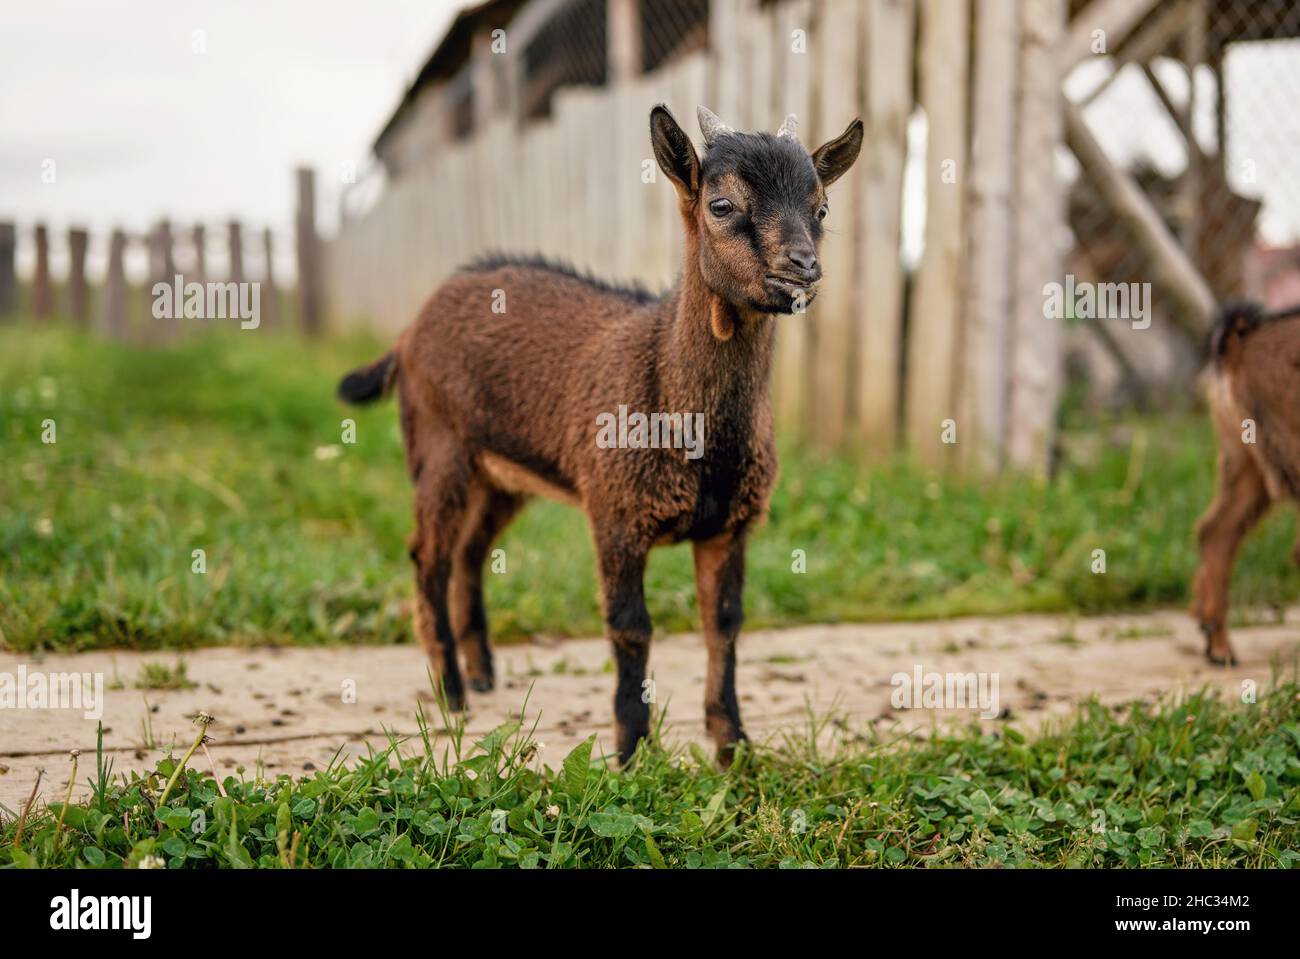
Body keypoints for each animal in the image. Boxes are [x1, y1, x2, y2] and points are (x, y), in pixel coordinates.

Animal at [338, 105, 862, 765]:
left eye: (822, 207)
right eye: (721, 205)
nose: (803, 268)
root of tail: (410, 330)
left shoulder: (730, 525)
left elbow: (724, 624)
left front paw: (733, 746)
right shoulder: (615, 511)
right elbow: (630, 626)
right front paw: (633, 748)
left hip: (502, 474)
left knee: (470, 552)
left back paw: (481, 674)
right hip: (439, 447)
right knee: (428, 553)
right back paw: (451, 691)